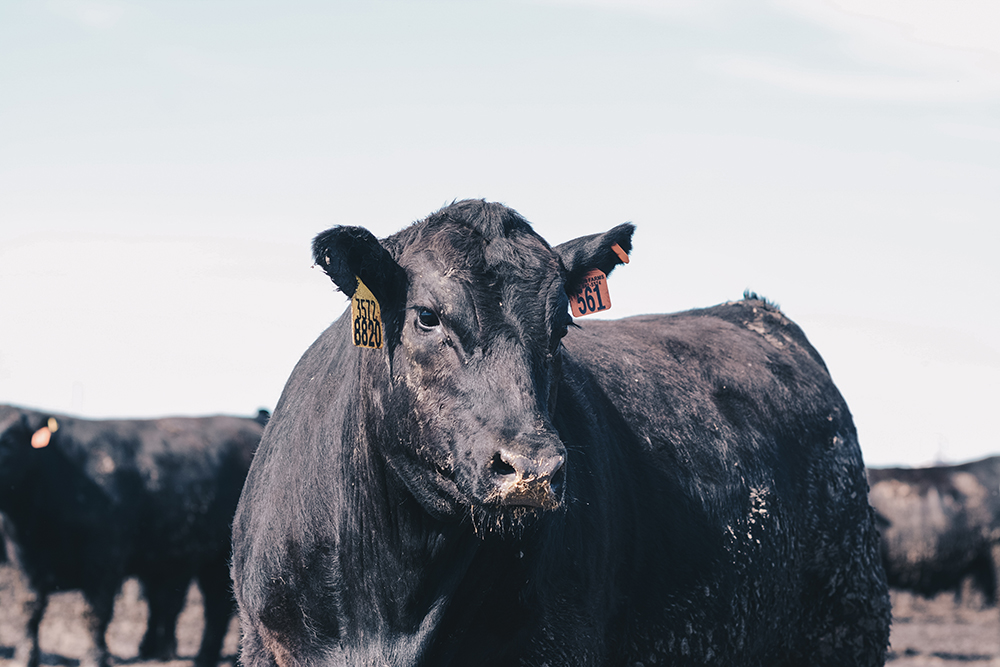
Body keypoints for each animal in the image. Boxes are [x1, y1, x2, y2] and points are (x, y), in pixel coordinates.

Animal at [0, 405, 266, 667]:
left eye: (10, 439)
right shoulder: (23, 557)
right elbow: (30, 607)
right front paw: (25, 656)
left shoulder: (105, 558)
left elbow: (95, 612)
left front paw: (95, 658)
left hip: (217, 558)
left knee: (215, 608)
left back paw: (204, 657)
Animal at [231, 199, 891, 666]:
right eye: (427, 316)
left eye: (562, 326)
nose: (532, 469)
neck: (388, 604)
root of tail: (758, 312)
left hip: (846, 627)